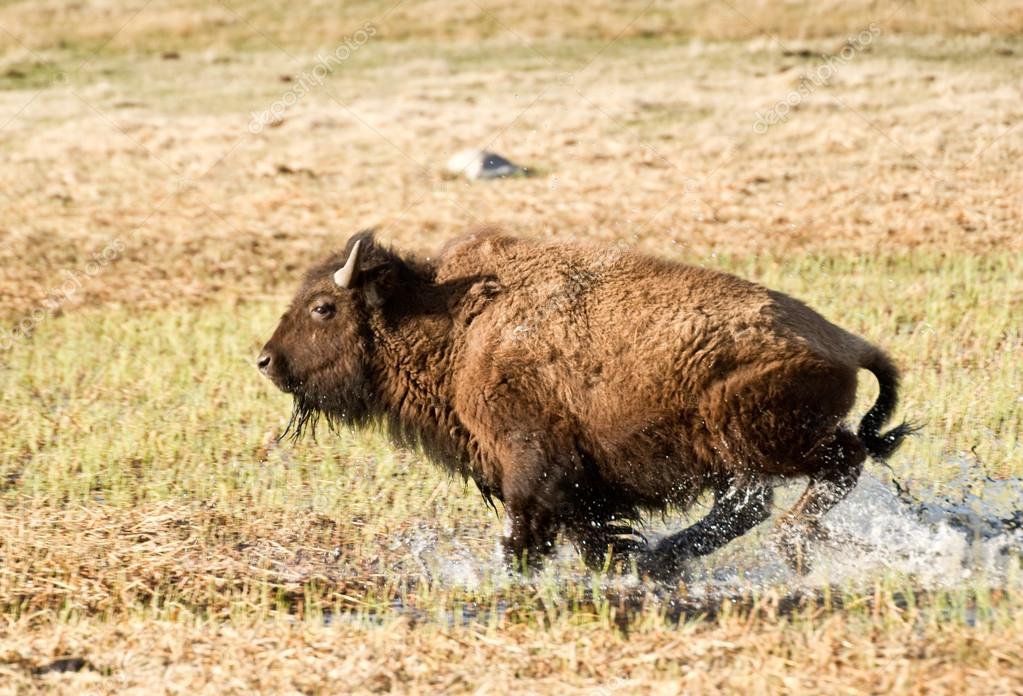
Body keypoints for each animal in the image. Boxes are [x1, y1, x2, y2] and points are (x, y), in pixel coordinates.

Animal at [258, 230, 913, 578]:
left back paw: (788, 544)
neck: (454, 321)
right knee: (750, 504)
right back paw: (666, 558)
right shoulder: (573, 485)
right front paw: (624, 566)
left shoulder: (531, 463)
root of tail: (846, 342)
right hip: (738, 454)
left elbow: (526, 533)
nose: (266, 361)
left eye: (323, 308)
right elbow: (590, 533)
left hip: (765, 439)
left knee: (837, 466)